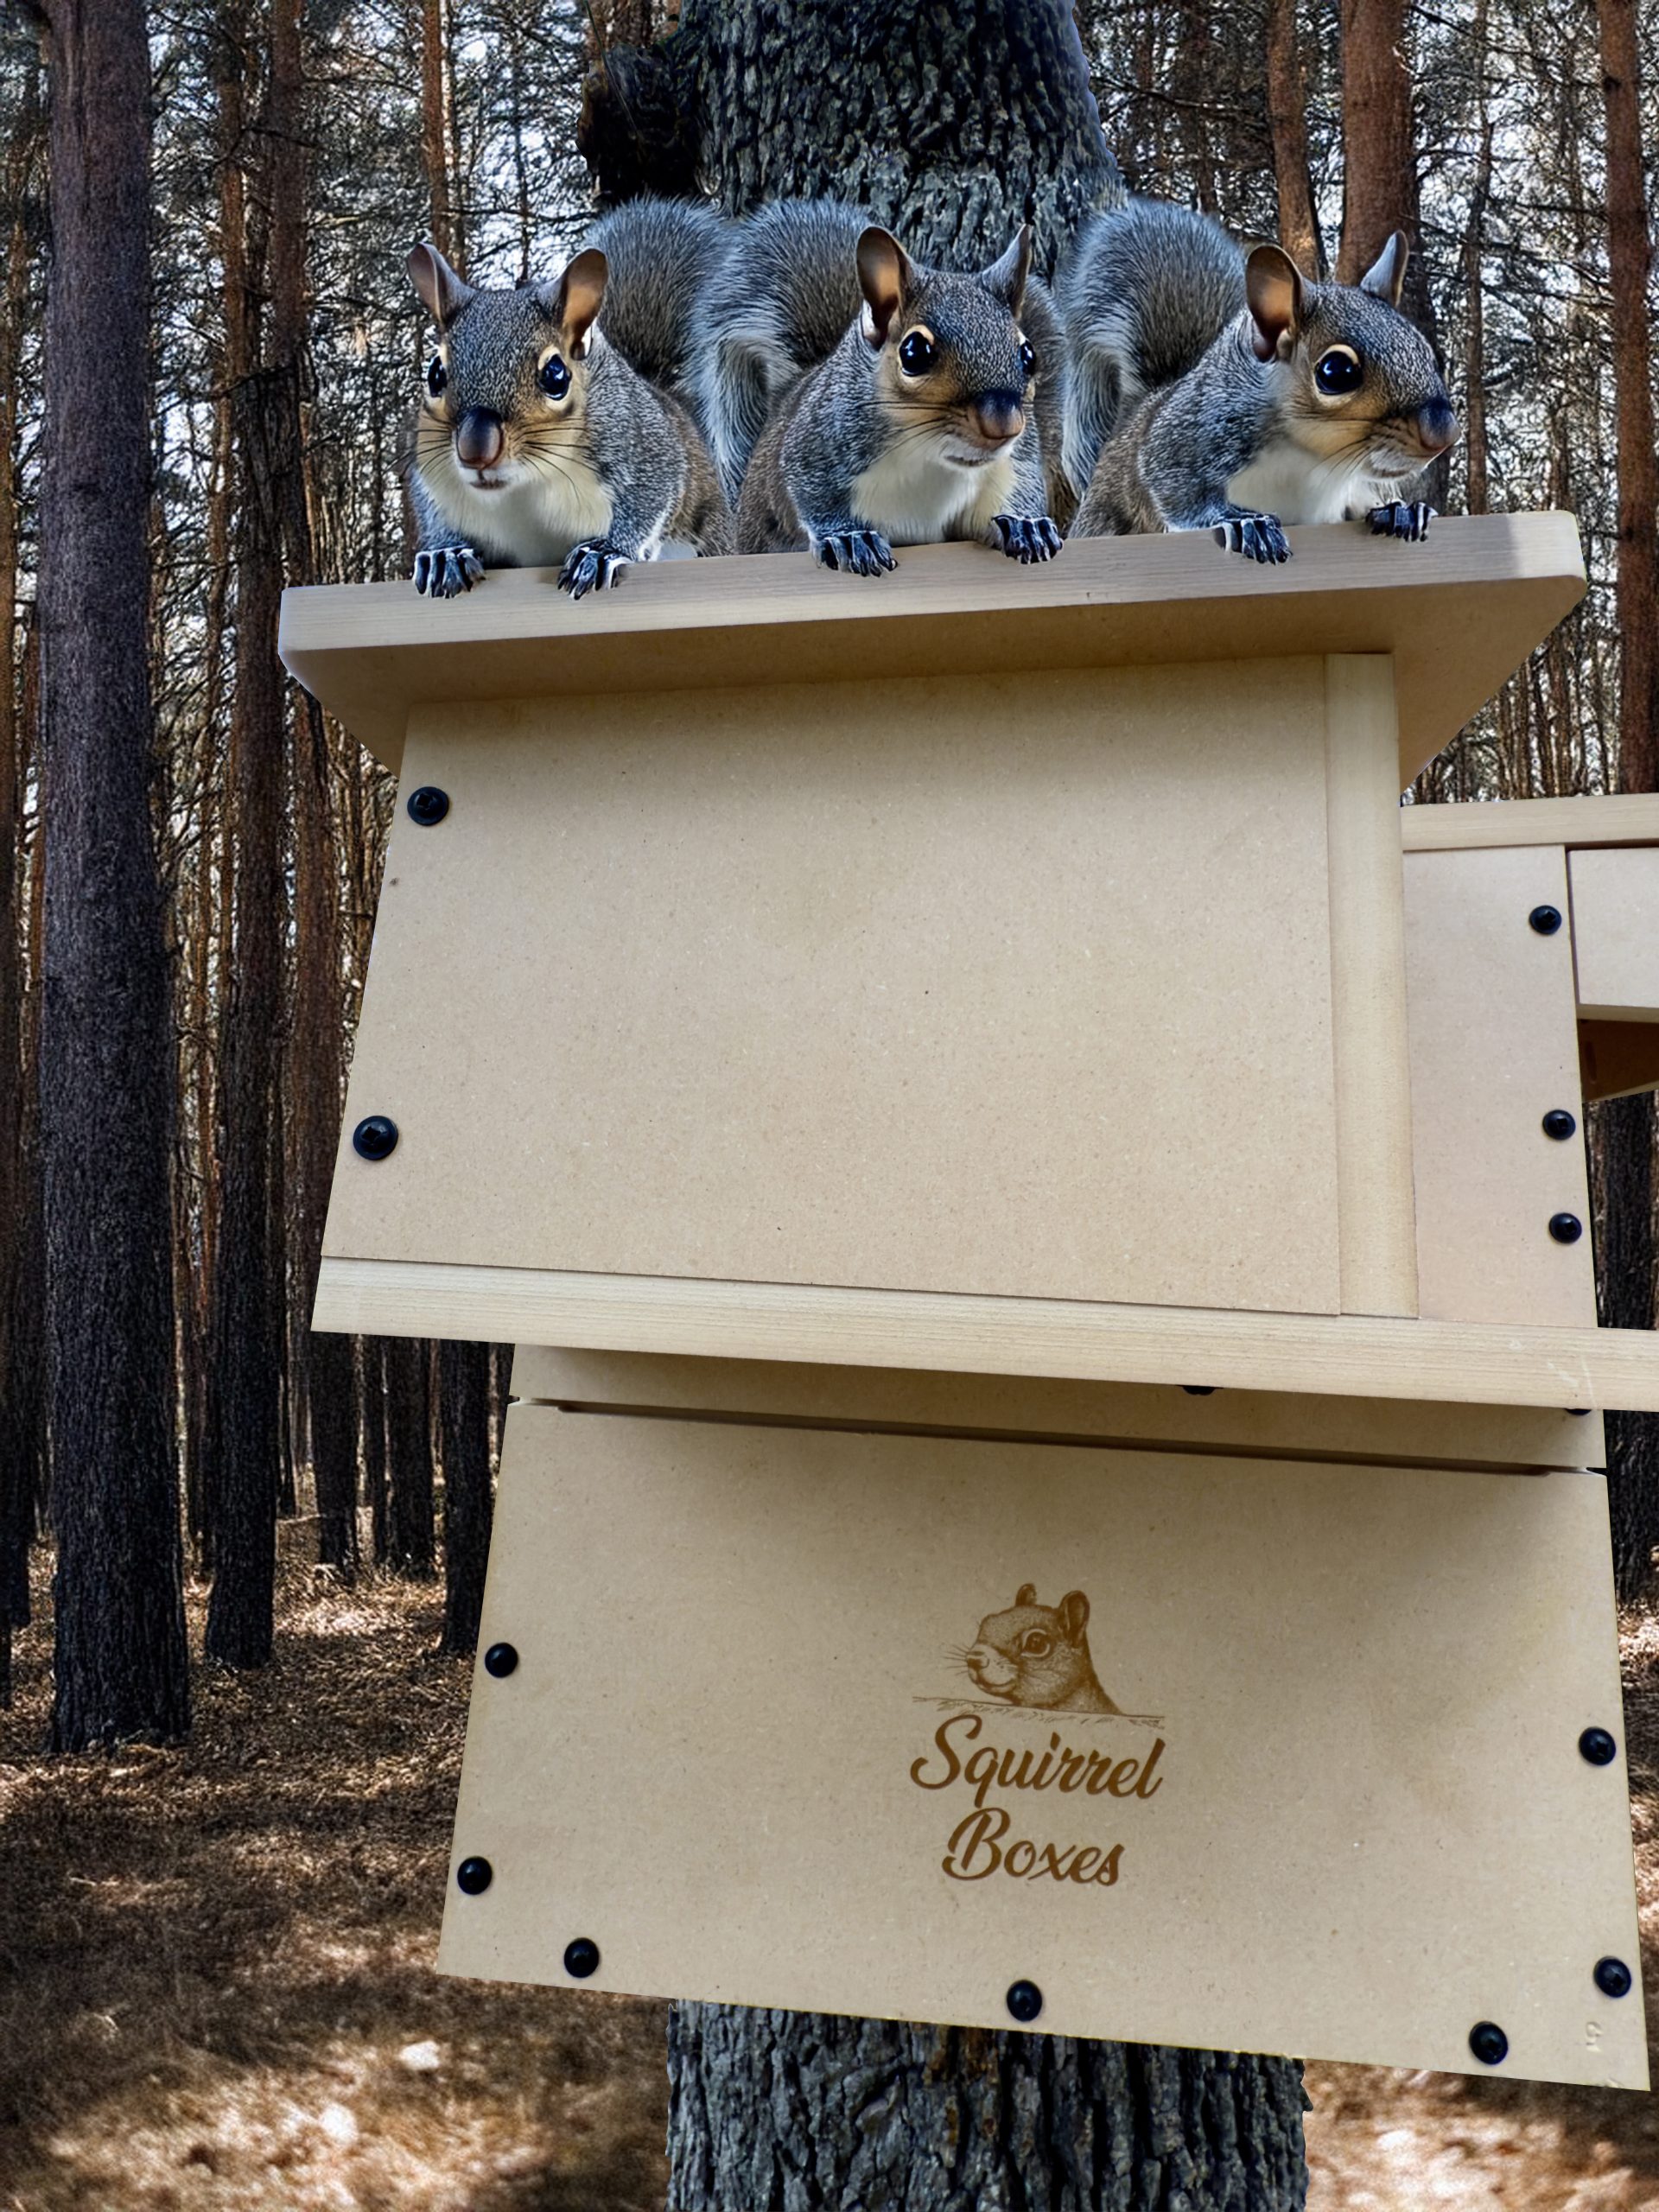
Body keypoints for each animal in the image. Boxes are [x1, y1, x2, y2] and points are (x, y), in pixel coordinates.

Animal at [405, 239, 731, 601]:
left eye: (555, 374)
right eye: (435, 374)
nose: (475, 450)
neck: (525, 483)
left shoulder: (647, 447)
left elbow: (649, 501)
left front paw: (605, 552)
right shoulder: (434, 474)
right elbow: (435, 514)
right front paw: (445, 554)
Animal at [734, 221, 1063, 575]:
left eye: (1029, 355)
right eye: (914, 352)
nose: (1005, 425)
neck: (926, 457)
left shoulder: (1012, 463)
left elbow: (1019, 486)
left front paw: (1025, 524)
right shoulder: (815, 445)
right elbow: (813, 493)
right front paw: (850, 538)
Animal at [1059, 197, 1458, 562]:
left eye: (1426, 351)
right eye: (1335, 372)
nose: (1444, 434)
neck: (1310, 457)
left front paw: (1399, 510)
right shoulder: (1185, 438)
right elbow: (1172, 485)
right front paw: (1242, 523)